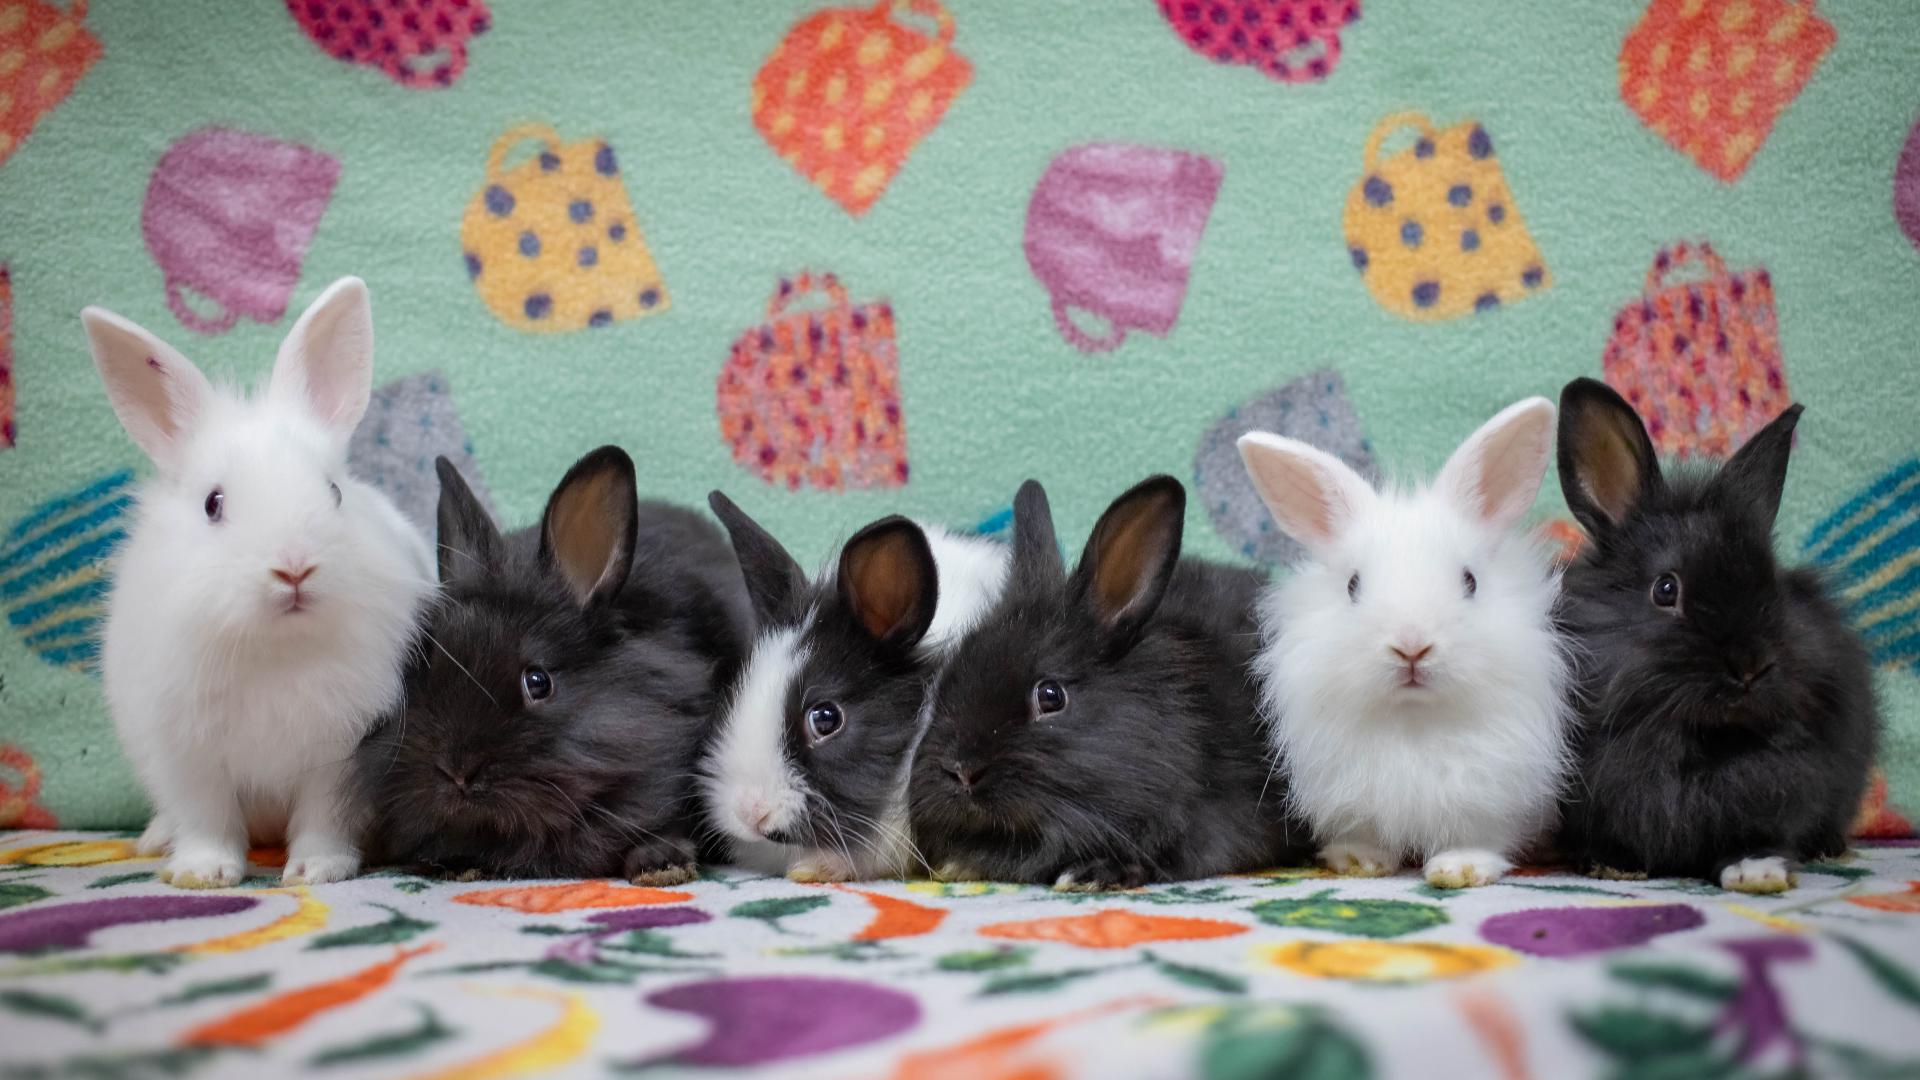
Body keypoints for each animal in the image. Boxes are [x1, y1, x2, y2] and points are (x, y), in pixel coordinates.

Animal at [83, 277, 435, 888]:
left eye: (334, 492)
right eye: (212, 503)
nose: (294, 567)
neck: (277, 648)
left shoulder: (339, 757)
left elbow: (324, 819)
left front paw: (316, 873)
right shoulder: (187, 753)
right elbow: (206, 818)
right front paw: (202, 874)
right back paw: (154, 842)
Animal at [1236, 397, 1572, 889]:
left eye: (1470, 581)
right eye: (1353, 585)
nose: (1412, 646)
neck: (1413, 722)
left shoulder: (1494, 794)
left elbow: (1480, 835)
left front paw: (1460, 869)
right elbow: (1363, 832)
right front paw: (1358, 861)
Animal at [1553, 378, 1877, 893]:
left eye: (1772, 583)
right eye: (1666, 589)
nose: (1750, 665)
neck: (1694, 740)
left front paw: (1755, 870)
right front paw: (1612, 864)